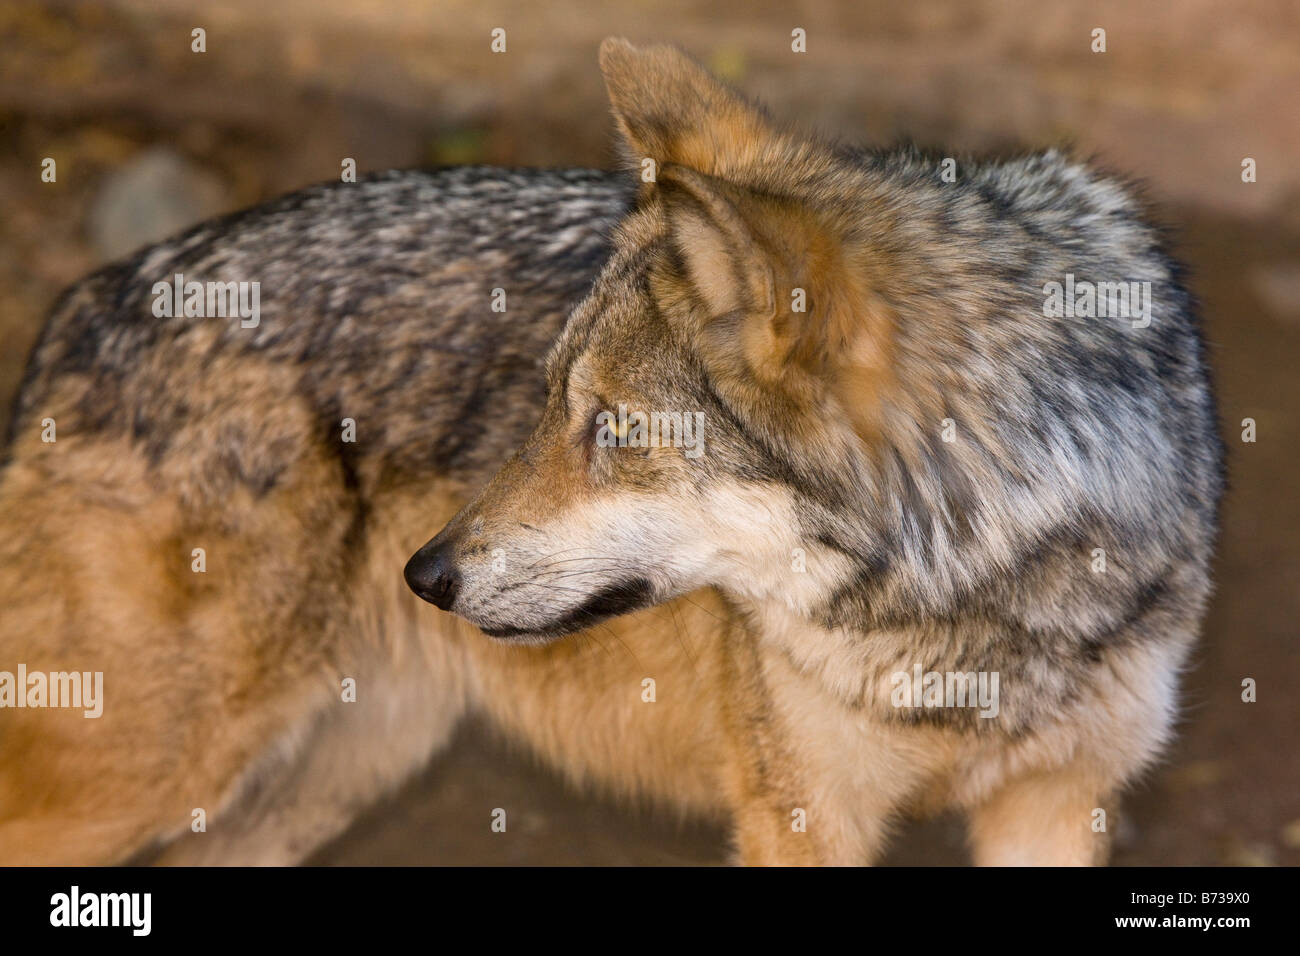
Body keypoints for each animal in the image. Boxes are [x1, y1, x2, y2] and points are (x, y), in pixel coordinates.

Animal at [0, 40, 1220, 866]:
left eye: (616, 430)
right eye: (549, 401)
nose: (424, 572)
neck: (981, 595)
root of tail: (83, 304)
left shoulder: (1057, 801)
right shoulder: (800, 814)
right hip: (141, 777)